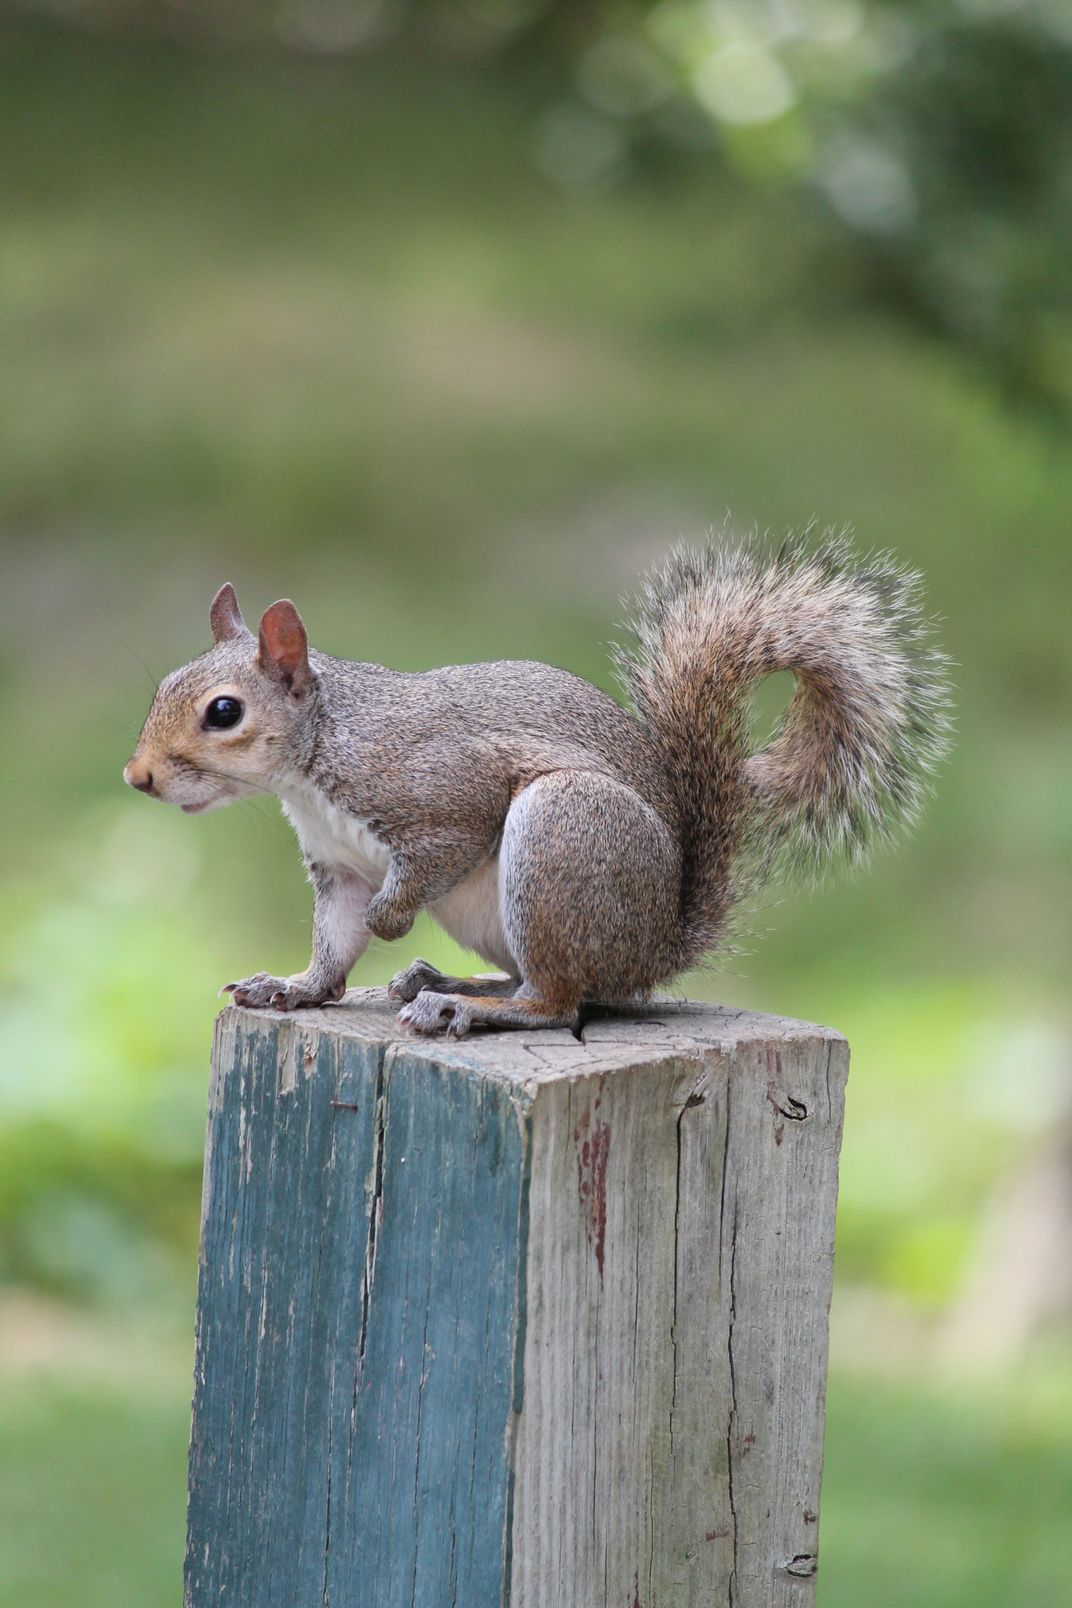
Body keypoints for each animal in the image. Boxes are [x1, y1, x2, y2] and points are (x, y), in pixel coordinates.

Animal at [124, 535, 951, 1037]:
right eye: (162, 686)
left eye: (223, 712)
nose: (138, 777)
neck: (320, 755)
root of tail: (660, 944)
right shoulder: (340, 868)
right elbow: (335, 943)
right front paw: (294, 988)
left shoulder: (443, 795)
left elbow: (427, 862)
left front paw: (393, 922)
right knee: (552, 985)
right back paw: (448, 984)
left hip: (562, 833)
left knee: (557, 1001)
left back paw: (465, 1009)